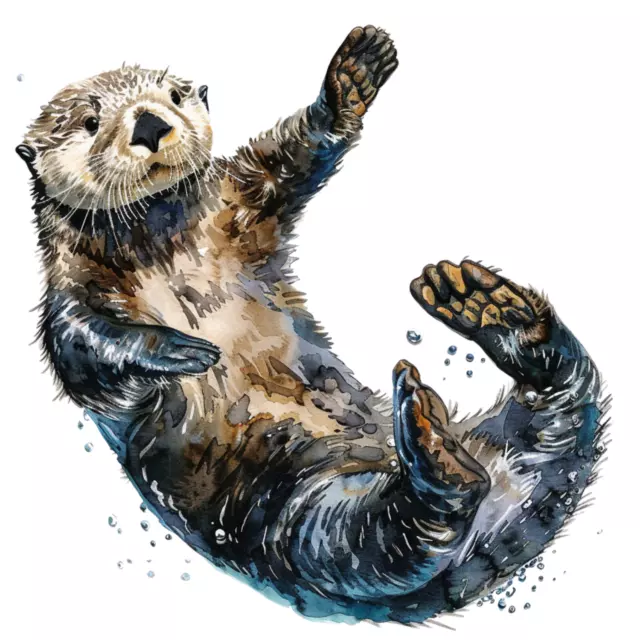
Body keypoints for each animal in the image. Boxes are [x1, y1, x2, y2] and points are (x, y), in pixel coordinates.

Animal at [18, 25, 608, 624]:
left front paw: (351, 78)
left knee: (560, 400)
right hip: (294, 514)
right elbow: (83, 348)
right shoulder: (69, 288)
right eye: (90, 121)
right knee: (387, 537)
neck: (162, 240)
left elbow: (286, 160)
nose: (149, 124)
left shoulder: (241, 205)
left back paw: (488, 310)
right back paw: (436, 450)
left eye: (175, 96)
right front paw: (183, 350)